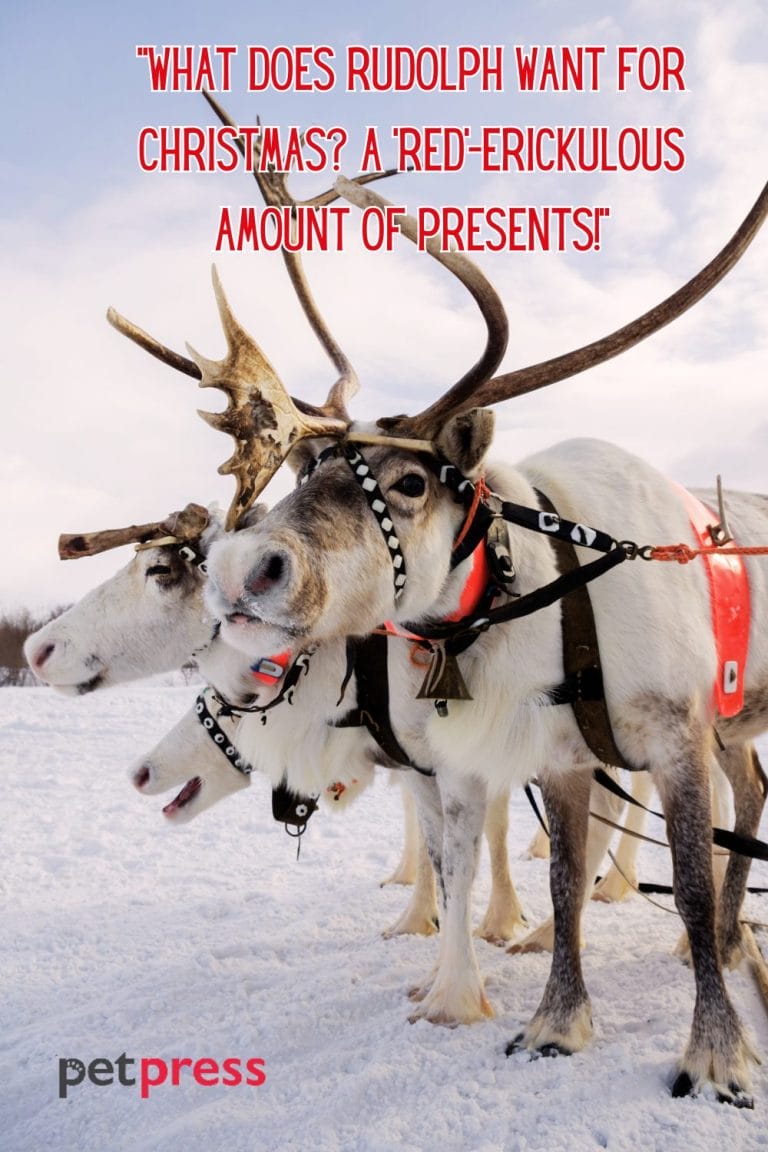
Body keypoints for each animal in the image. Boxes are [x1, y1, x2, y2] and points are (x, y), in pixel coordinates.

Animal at [192, 172, 768, 1104]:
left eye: (411, 481)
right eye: (308, 469)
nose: (243, 565)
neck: (551, 585)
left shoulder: (676, 734)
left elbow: (681, 879)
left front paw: (716, 1054)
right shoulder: (564, 754)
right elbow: (563, 883)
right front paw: (556, 1024)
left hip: (720, 724)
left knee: (739, 814)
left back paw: (715, 940)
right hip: (732, 726)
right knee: (751, 793)